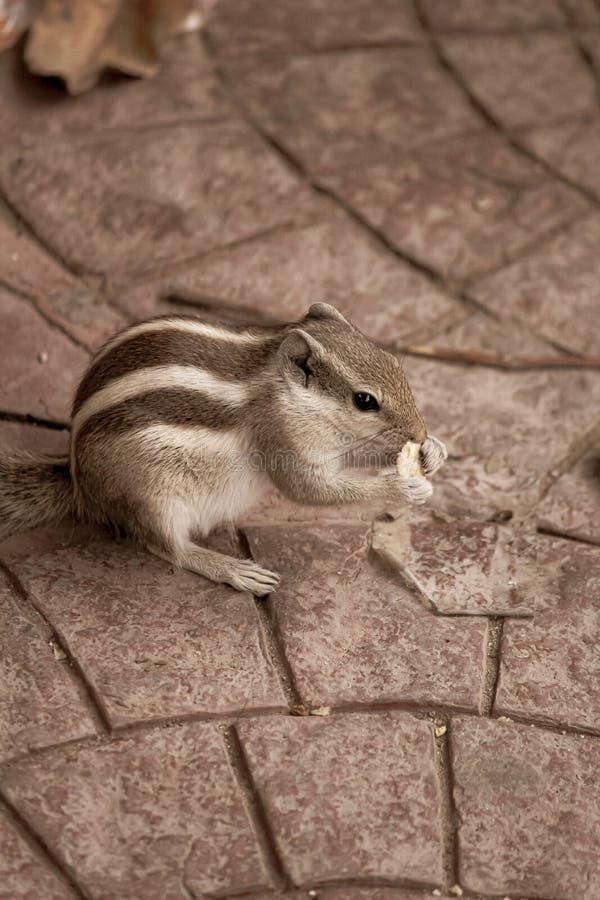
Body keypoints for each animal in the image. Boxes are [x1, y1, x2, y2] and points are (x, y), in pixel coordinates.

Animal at [0, 303, 447, 595]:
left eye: (394, 361)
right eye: (364, 400)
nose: (420, 430)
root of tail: (79, 484)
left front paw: (434, 451)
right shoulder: (281, 436)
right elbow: (309, 489)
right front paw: (400, 486)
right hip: (152, 495)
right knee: (168, 547)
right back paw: (231, 569)